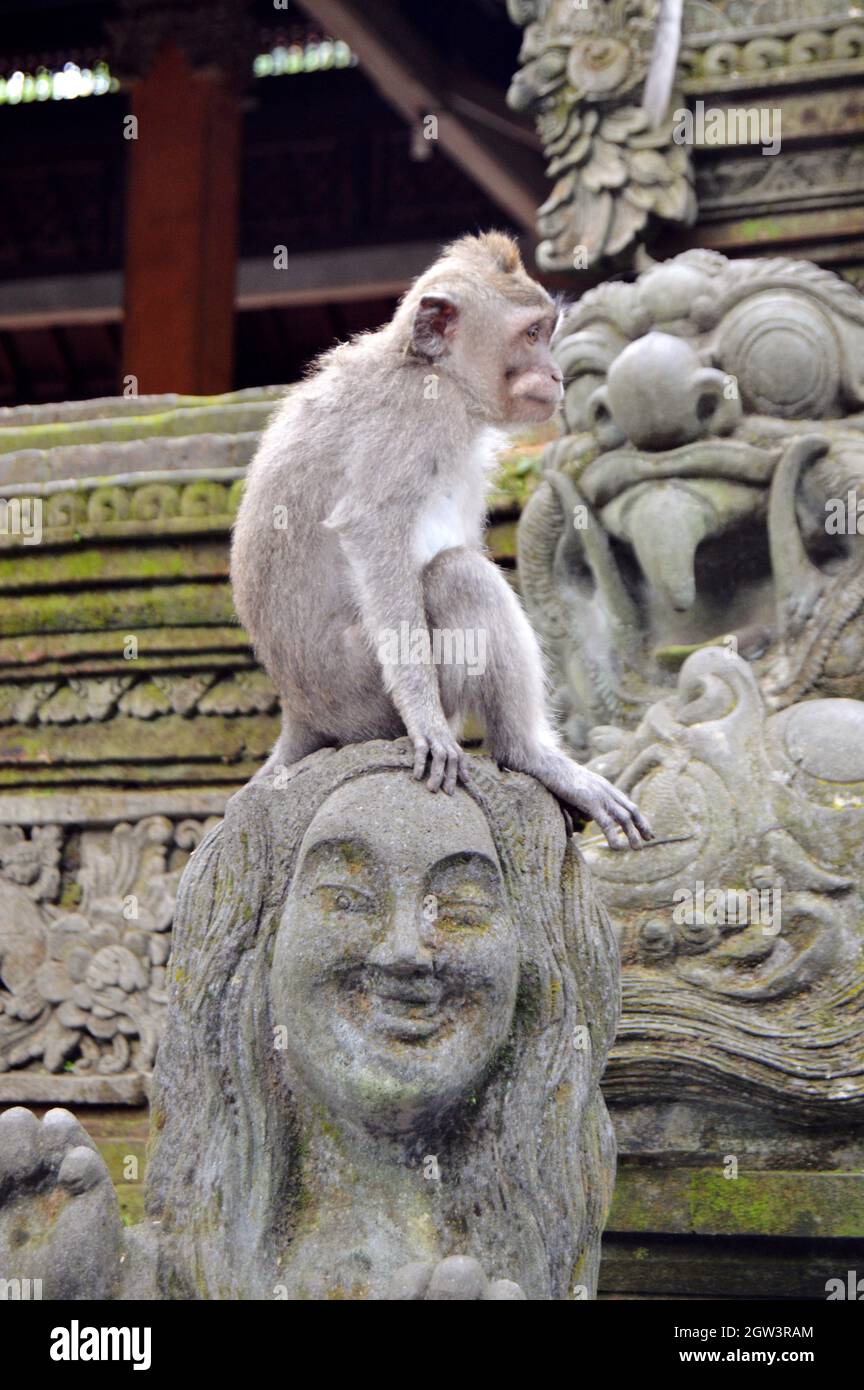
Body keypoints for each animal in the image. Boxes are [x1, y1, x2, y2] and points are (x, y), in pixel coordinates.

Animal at [231, 231, 652, 850]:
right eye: (532, 334)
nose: (556, 376)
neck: (429, 368)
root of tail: (301, 714)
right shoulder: (416, 416)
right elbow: (373, 529)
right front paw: (425, 719)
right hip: (365, 698)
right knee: (460, 577)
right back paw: (528, 754)